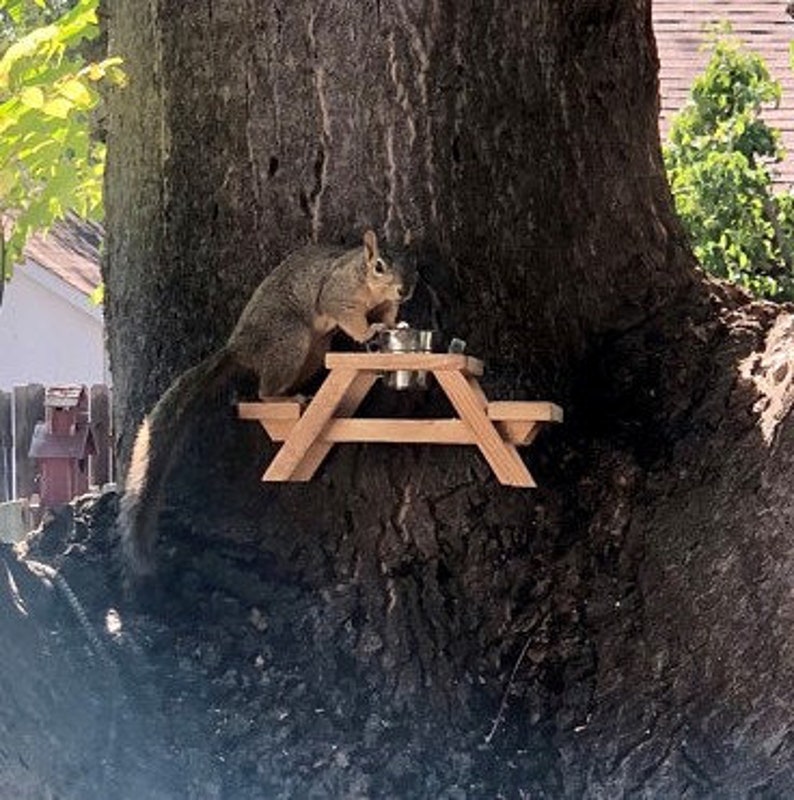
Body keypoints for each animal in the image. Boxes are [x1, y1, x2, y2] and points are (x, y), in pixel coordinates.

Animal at [118, 230, 416, 578]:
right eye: (379, 266)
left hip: (313, 352)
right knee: (264, 391)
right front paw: (370, 331)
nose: (405, 290)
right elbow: (351, 319)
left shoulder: (386, 305)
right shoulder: (337, 295)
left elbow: (389, 315)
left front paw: (395, 326)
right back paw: (286, 397)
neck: (366, 281)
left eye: (413, 264)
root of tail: (238, 349)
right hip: (290, 339)